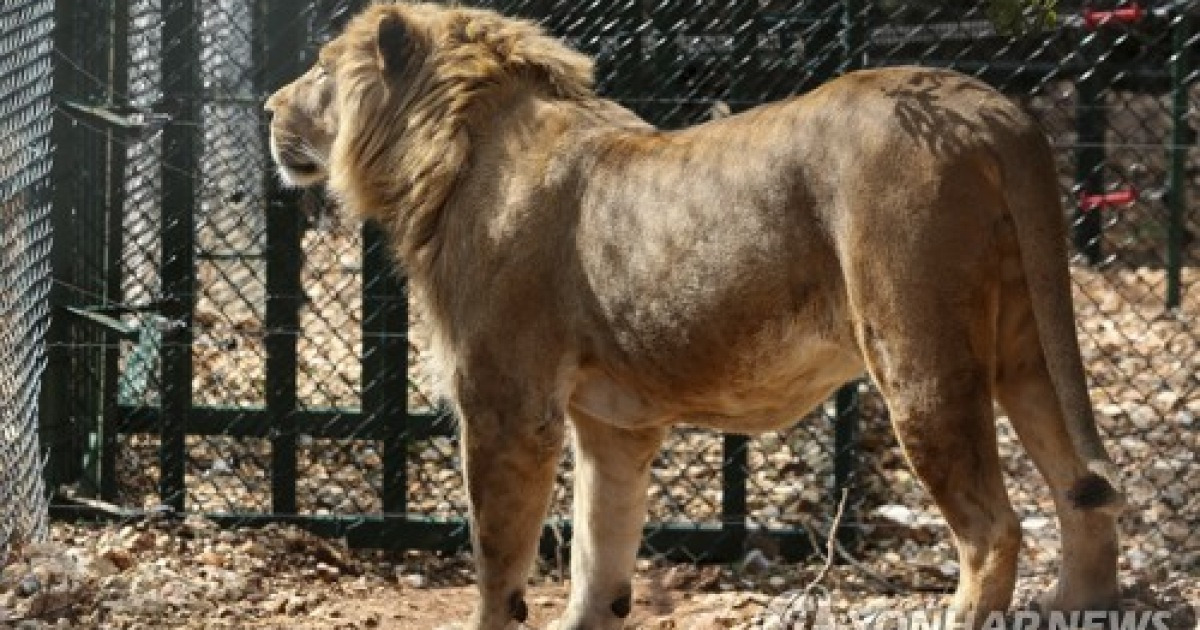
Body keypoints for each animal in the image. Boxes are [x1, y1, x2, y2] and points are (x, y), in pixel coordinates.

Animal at [265, 4, 1125, 629]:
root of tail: (991, 110)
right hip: (1025, 344)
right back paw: (1078, 607)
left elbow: (499, 561)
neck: (450, 150)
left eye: (321, 69)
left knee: (993, 528)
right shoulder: (614, 425)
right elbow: (599, 561)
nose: (270, 104)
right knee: (1082, 492)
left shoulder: (507, 404)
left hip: (920, 351)